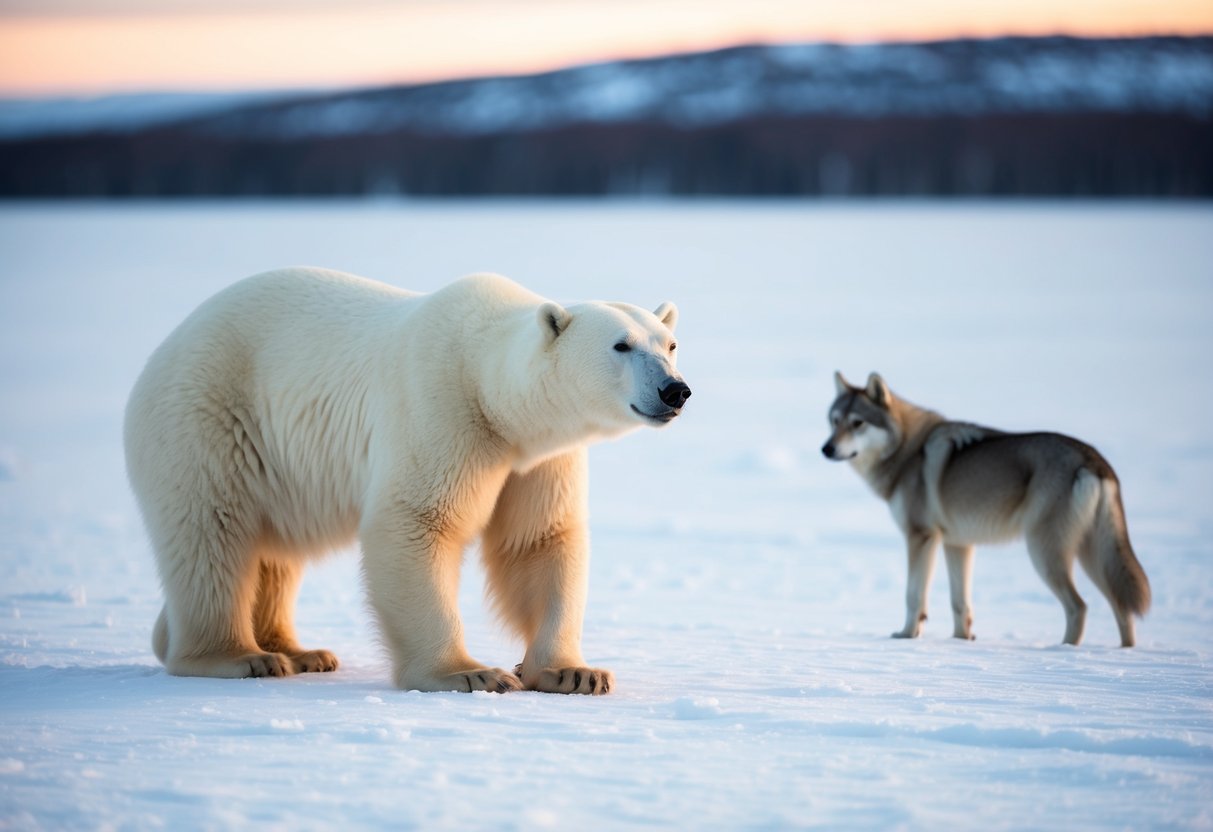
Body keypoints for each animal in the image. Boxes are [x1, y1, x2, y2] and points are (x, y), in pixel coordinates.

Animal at [124, 268, 690, 694]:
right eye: (621, 345)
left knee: (273, 550)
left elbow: (539, 540)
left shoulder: (536, 459)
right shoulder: (442, 409)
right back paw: (238, 656)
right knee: (212, 531)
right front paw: (469, 673)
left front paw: (574, 672)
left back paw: (298, 651)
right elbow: (417, 522)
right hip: (208, 417)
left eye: (670, 344)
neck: (488, 386)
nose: (675, 390)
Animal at [821, 371, 1150, 647]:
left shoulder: (920, 537)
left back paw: (1064, 650)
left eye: (857, 422)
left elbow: (914, 596)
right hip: (1091, 556)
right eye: (834, 421)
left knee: (1079, 607)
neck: (908, 451)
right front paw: (961, 641)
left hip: (1044, 553)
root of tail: (1094, 460)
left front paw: (906, 636)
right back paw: (1125, 652)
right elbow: (960, 604)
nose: (826, 449)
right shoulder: (957, 543)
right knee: (1122, 608)